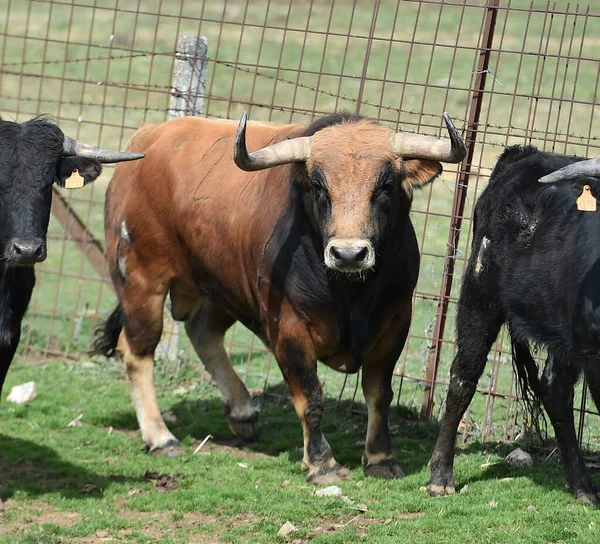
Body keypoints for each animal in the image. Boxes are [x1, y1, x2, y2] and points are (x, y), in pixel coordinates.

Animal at [94, 109, 466, 480]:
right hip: (141, 281)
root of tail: (148, 138)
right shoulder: (288, 327)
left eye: (386, 185)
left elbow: (379, 394)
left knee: (203, 333)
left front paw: (381, 458)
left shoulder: (395, 322)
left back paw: (242, 412)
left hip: (220, 282)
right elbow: (310, 396)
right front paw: (321, 462)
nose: (348, 254)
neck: (350, 295)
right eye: (318, 186)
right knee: (137, 353)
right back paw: (161, 437)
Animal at [426, 146, 600, 506]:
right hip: (479, 293)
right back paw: (440, 477)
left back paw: (583, 486)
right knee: (463, 377)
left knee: (554, 388)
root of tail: (524, 153)